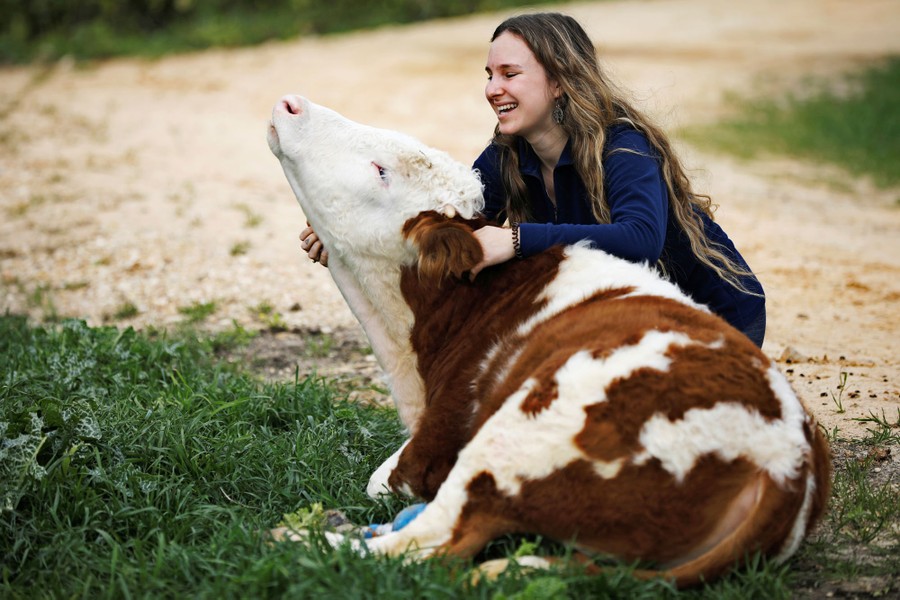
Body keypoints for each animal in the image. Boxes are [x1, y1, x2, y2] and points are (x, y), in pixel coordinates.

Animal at [266, 94, 831, 587]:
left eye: (381, 170)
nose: (291, 103)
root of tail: (789, 460)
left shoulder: (437, 441)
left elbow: (385, 481)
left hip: (524, 431)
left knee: (433, 540)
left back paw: (301, 536)